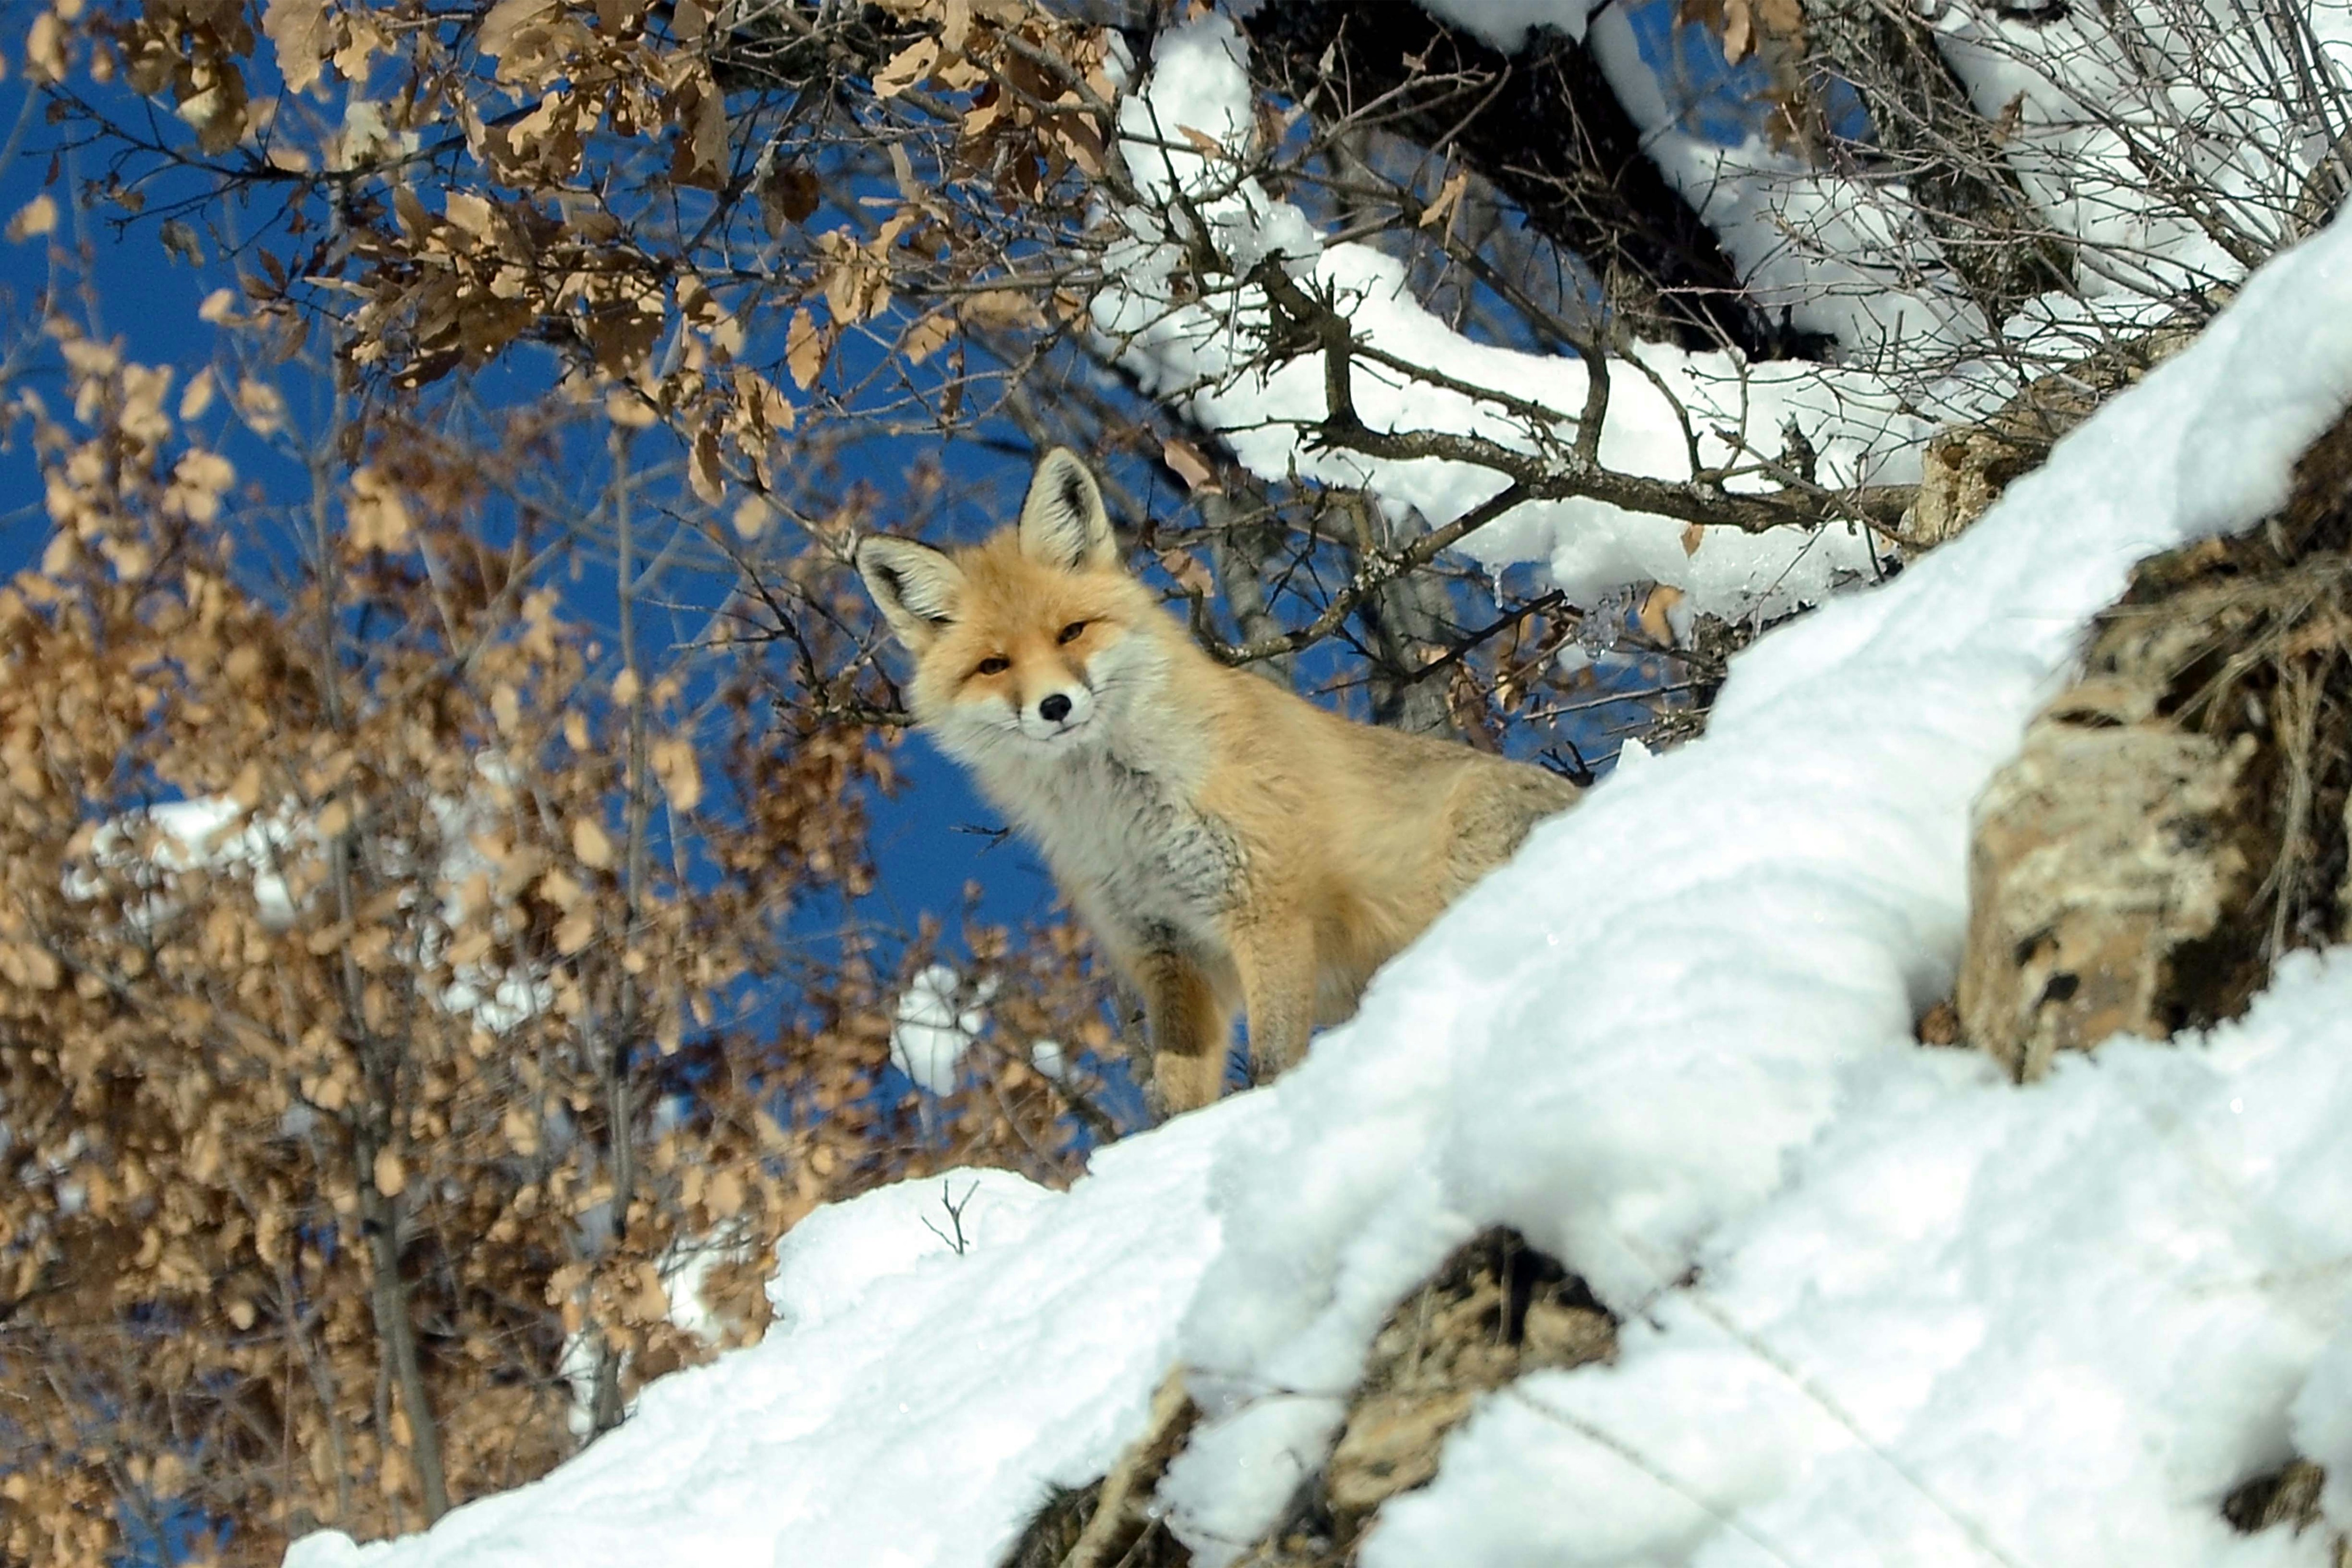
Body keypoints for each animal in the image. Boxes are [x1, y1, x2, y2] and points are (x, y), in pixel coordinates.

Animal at [855, 449, 1581, 1115]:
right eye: (993, 665)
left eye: (1072, 632)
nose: (1055, 707)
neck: (1128, 818)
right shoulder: (1168, 953)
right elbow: (1179, 1103)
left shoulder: (1268, 910)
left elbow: (1270, 1066)